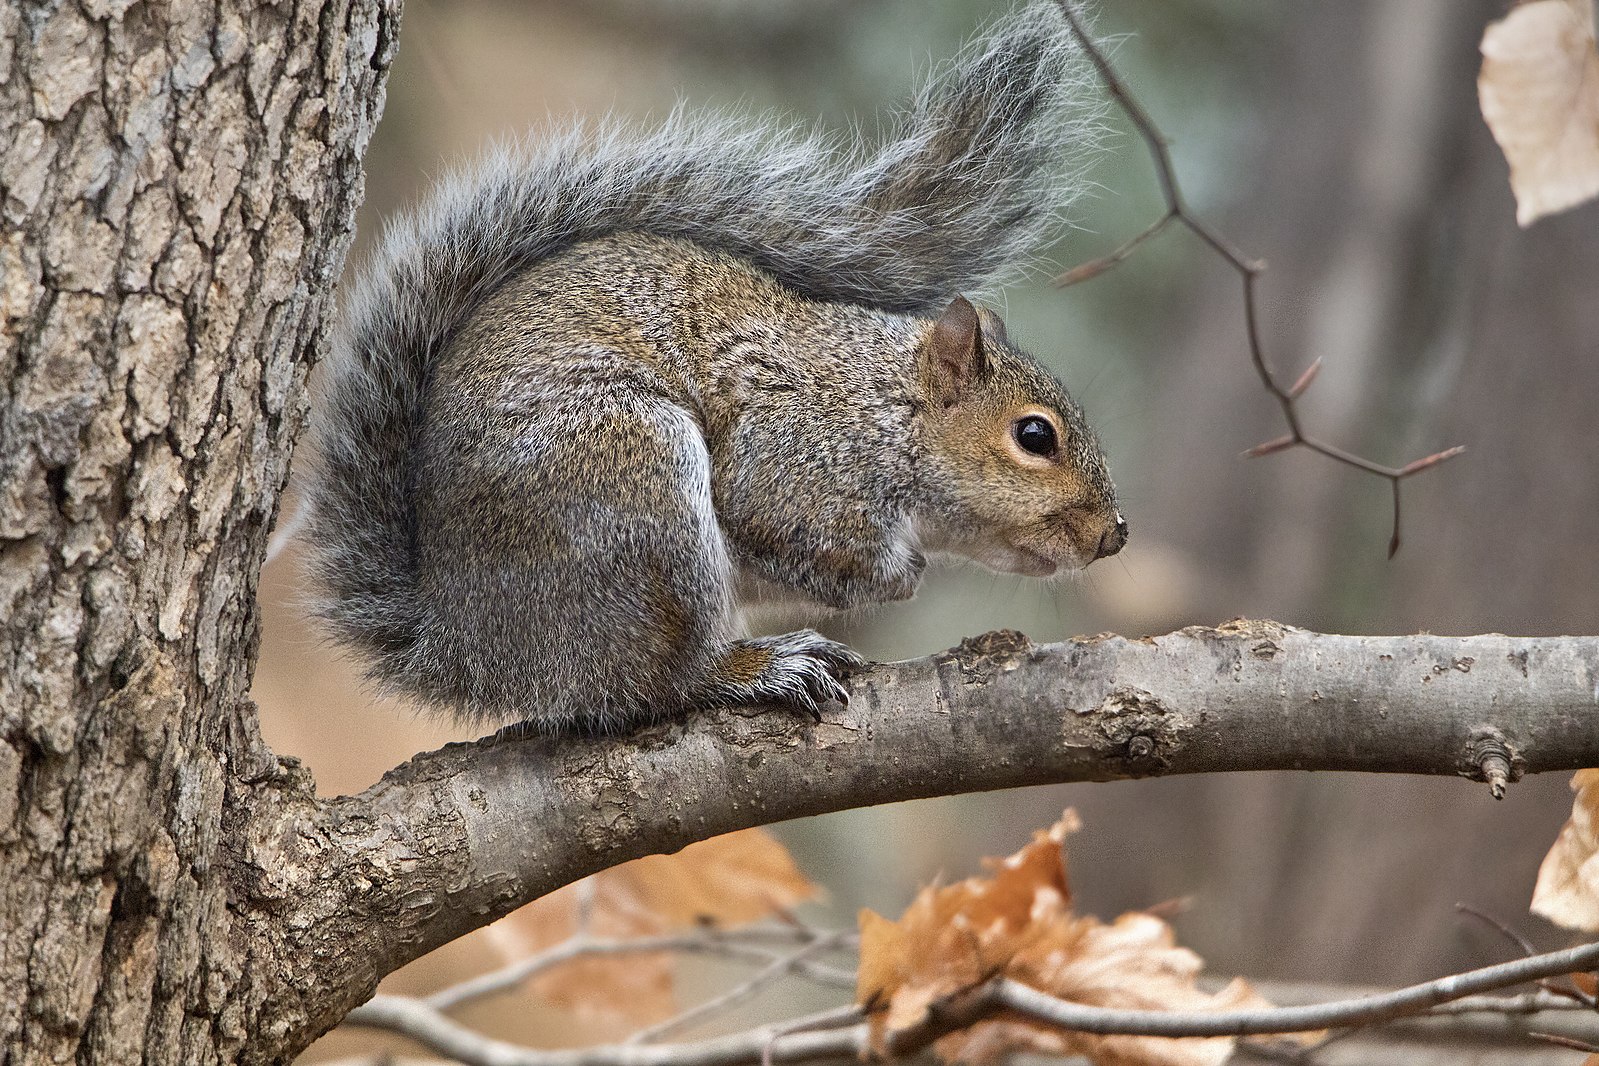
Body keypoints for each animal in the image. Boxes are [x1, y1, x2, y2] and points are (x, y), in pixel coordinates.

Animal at [304, 3, 1126, 732]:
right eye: (1034, 436)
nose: (1114, 534)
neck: (887, 408)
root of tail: (467, 644)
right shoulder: (797, 455)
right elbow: (779, 525)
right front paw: (897, 574)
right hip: (633, 488)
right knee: (654, 683)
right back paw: (756, 668)